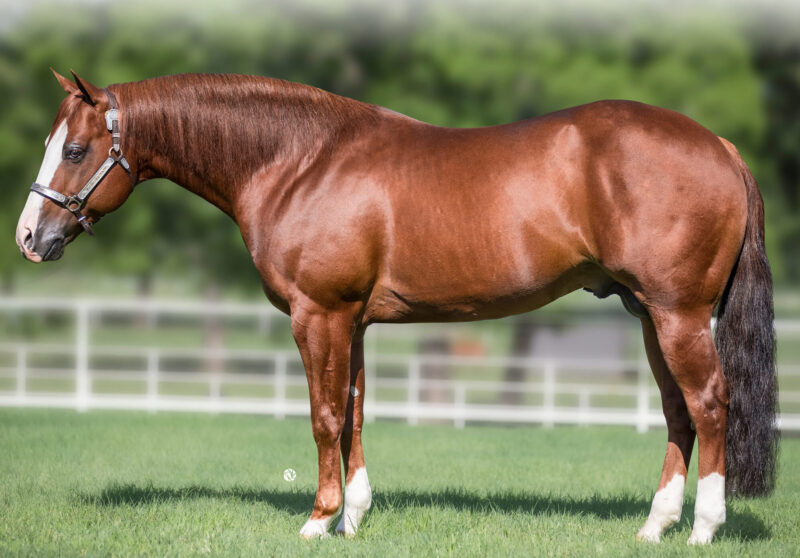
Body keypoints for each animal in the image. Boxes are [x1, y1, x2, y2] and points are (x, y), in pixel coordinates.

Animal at [15, 70, 777, 545]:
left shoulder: (318, 314)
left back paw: (704, 527)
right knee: (678, 412)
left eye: (75, 148)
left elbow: (323, 416)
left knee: (709, 403)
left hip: (678, 315)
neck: (301, 161)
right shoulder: (351, 320)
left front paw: (317, 520)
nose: (27, 237)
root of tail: (720, 145)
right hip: (648, 314)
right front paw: (353, 518)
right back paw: (653, 527)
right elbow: (352, 414)